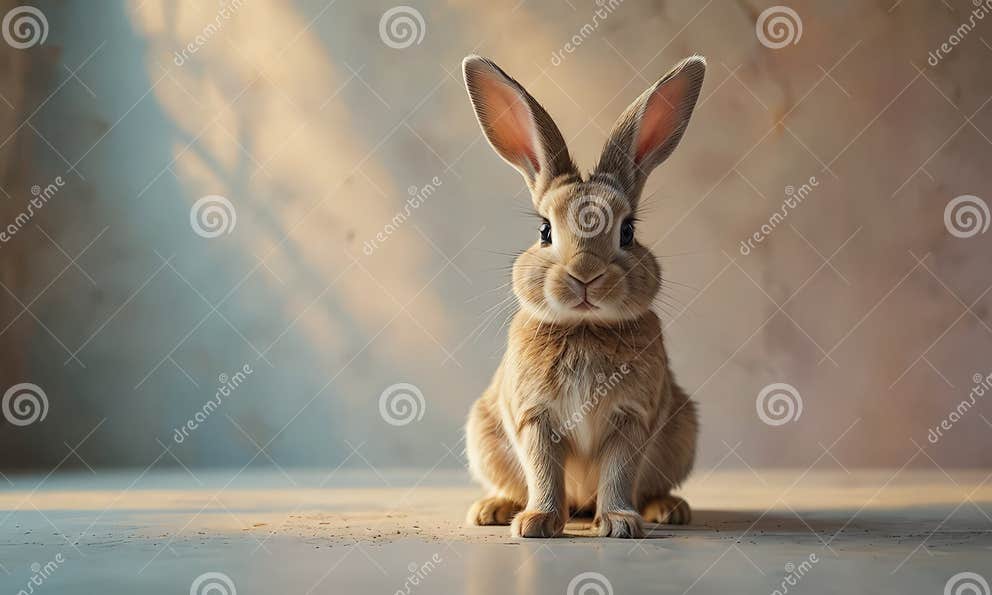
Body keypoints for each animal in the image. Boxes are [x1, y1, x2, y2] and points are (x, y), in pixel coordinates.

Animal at [461, 54, 705, 539]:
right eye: (544, 231)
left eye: (627, 232)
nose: (585, 274)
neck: (585, 326)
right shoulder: (534, 417)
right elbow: (543, 469)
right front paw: (536, 523)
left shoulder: (632, 417)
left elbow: (619, 471)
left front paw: (619, 523)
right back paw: (493, 510)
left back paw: (668, 509)